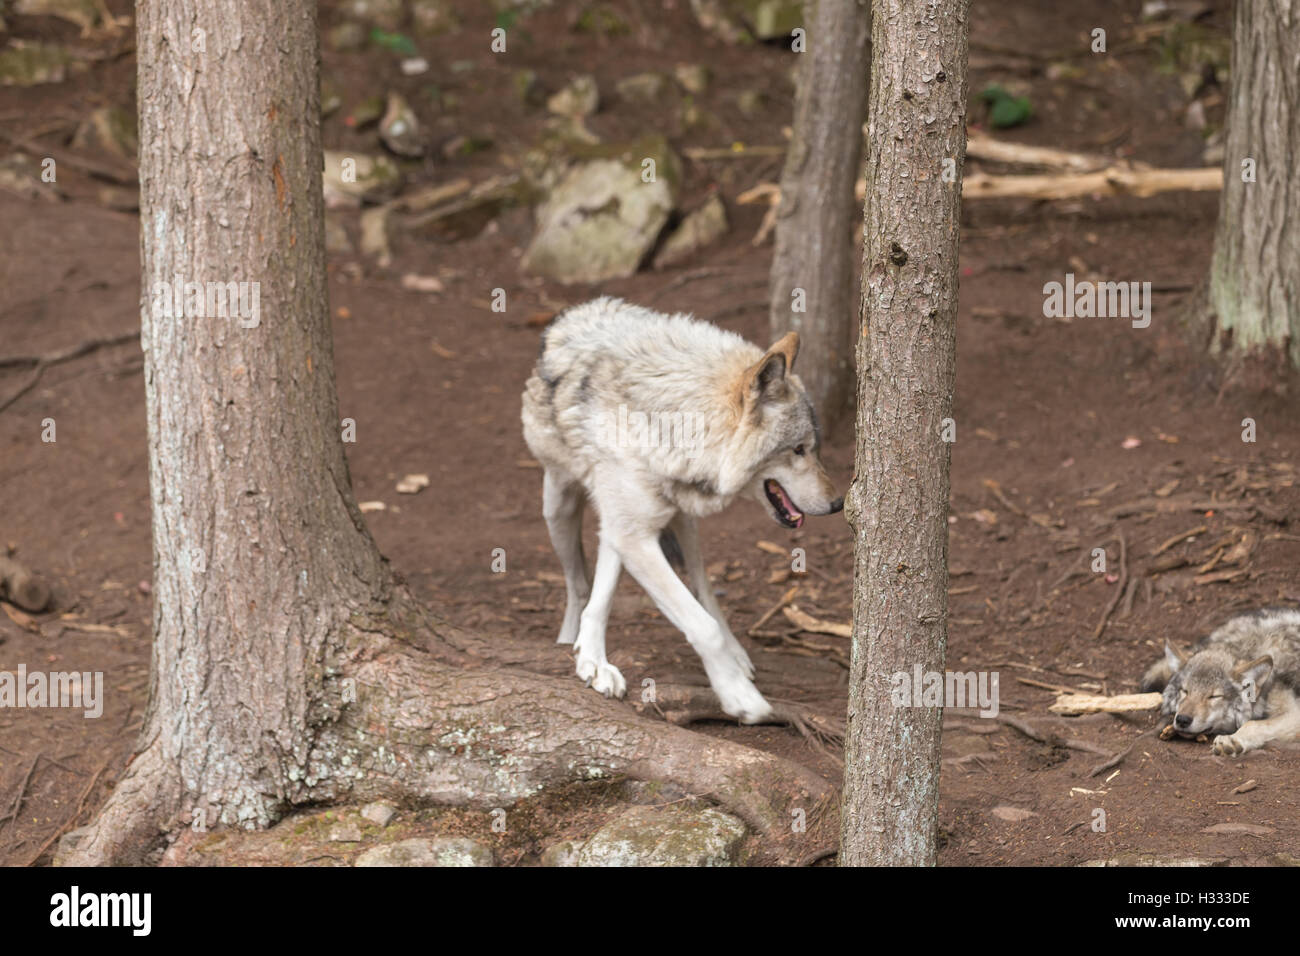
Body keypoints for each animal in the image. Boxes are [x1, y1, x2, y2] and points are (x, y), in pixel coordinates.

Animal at [521, 297, 842, 723]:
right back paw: (574, 642)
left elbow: (700, 610)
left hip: (677, 521)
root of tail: (575, 312)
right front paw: (740, 698)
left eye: (814, 449)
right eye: (799, 450)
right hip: (560, 508)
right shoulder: (631, 532)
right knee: (579, 586)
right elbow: (698, 625)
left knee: (701, 584)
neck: (670, 418)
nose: (839, 503)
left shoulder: (632, 529)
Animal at [1140, 607, 1300, 756]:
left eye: (1214, 696)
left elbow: (1252, 724)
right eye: (1185, 691)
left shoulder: (1294, 714)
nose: (1182, 720)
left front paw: (1232, 740)